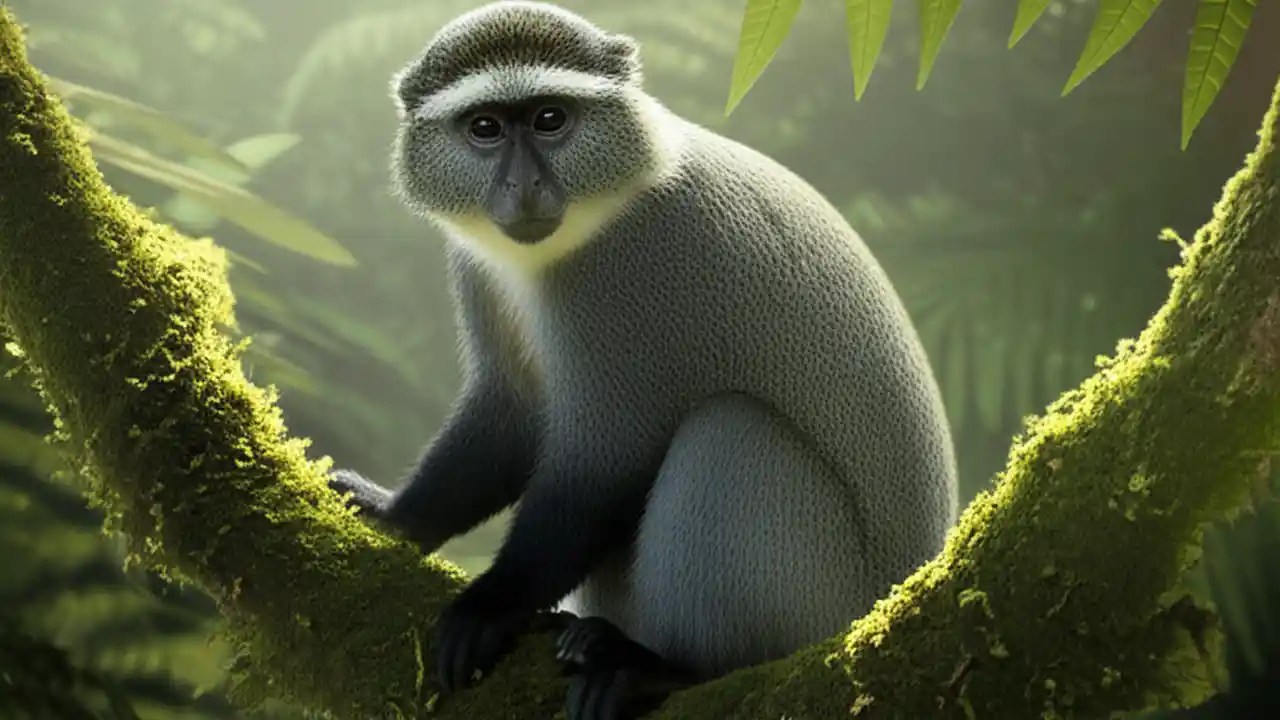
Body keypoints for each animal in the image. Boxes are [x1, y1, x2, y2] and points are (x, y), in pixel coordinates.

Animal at [328, 3, 959, 719]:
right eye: (484, 128)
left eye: (550, 119)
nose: (524, 185)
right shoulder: (479, 270)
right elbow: (513, 415)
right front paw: (398, 517)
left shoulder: (627, 274)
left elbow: (604, 461)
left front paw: (489, 606)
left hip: (824, 601)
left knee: (729, 430)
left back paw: (663, 669)